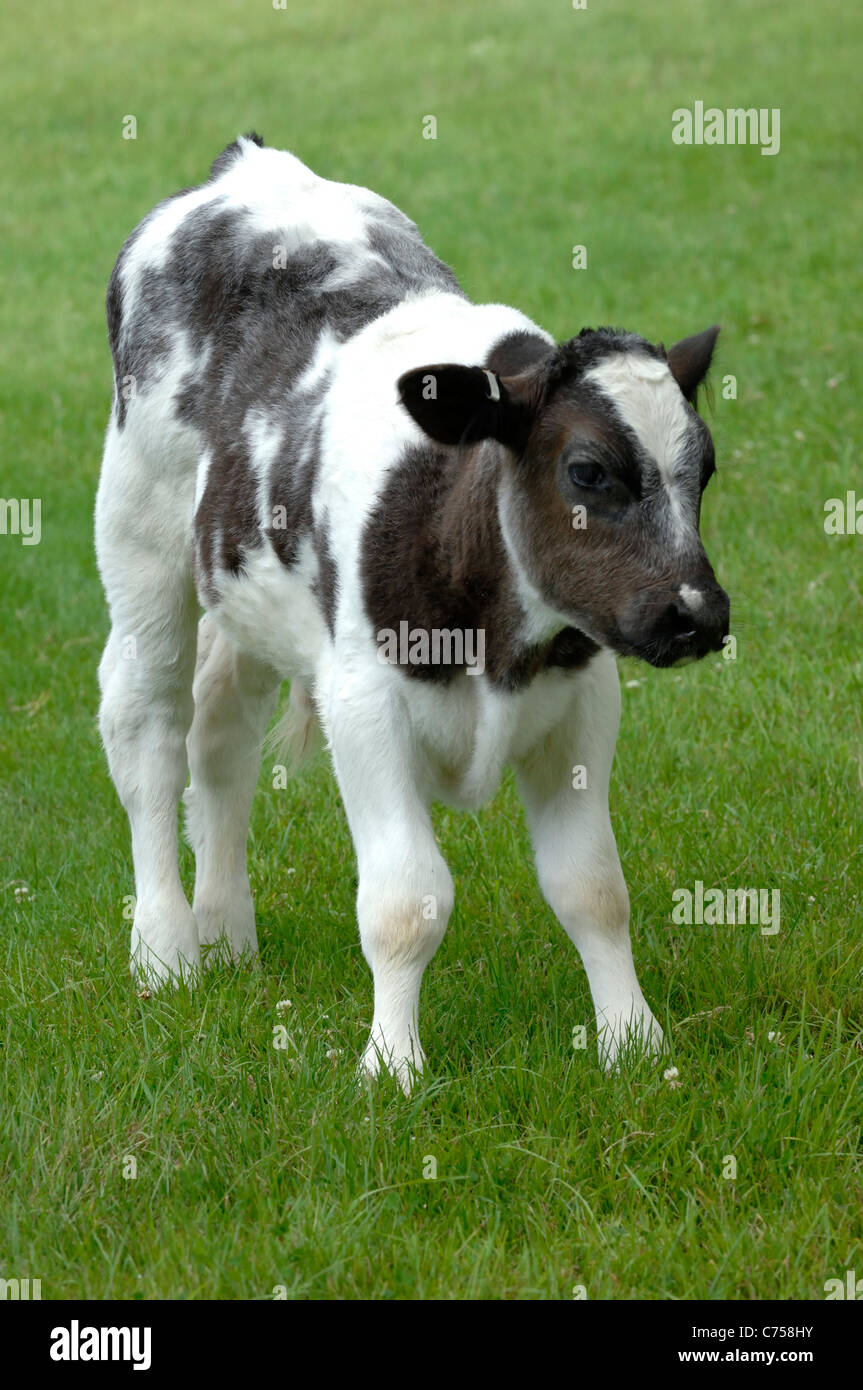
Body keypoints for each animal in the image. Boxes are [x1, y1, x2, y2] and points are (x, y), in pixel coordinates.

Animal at [96, 132, 729, 1089]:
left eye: (706, 466)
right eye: (586, 472)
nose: (698, 613)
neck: (497, 643)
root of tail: (245, 166)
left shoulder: (583, 700)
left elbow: (592, 887)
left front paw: (632, 1043)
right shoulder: (363, 702)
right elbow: (406, 900)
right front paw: (391, 1065)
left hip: (243, 584)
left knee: (221, 733)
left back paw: (225, 934)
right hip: (140, 543)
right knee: (149, 731)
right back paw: (165, 950)